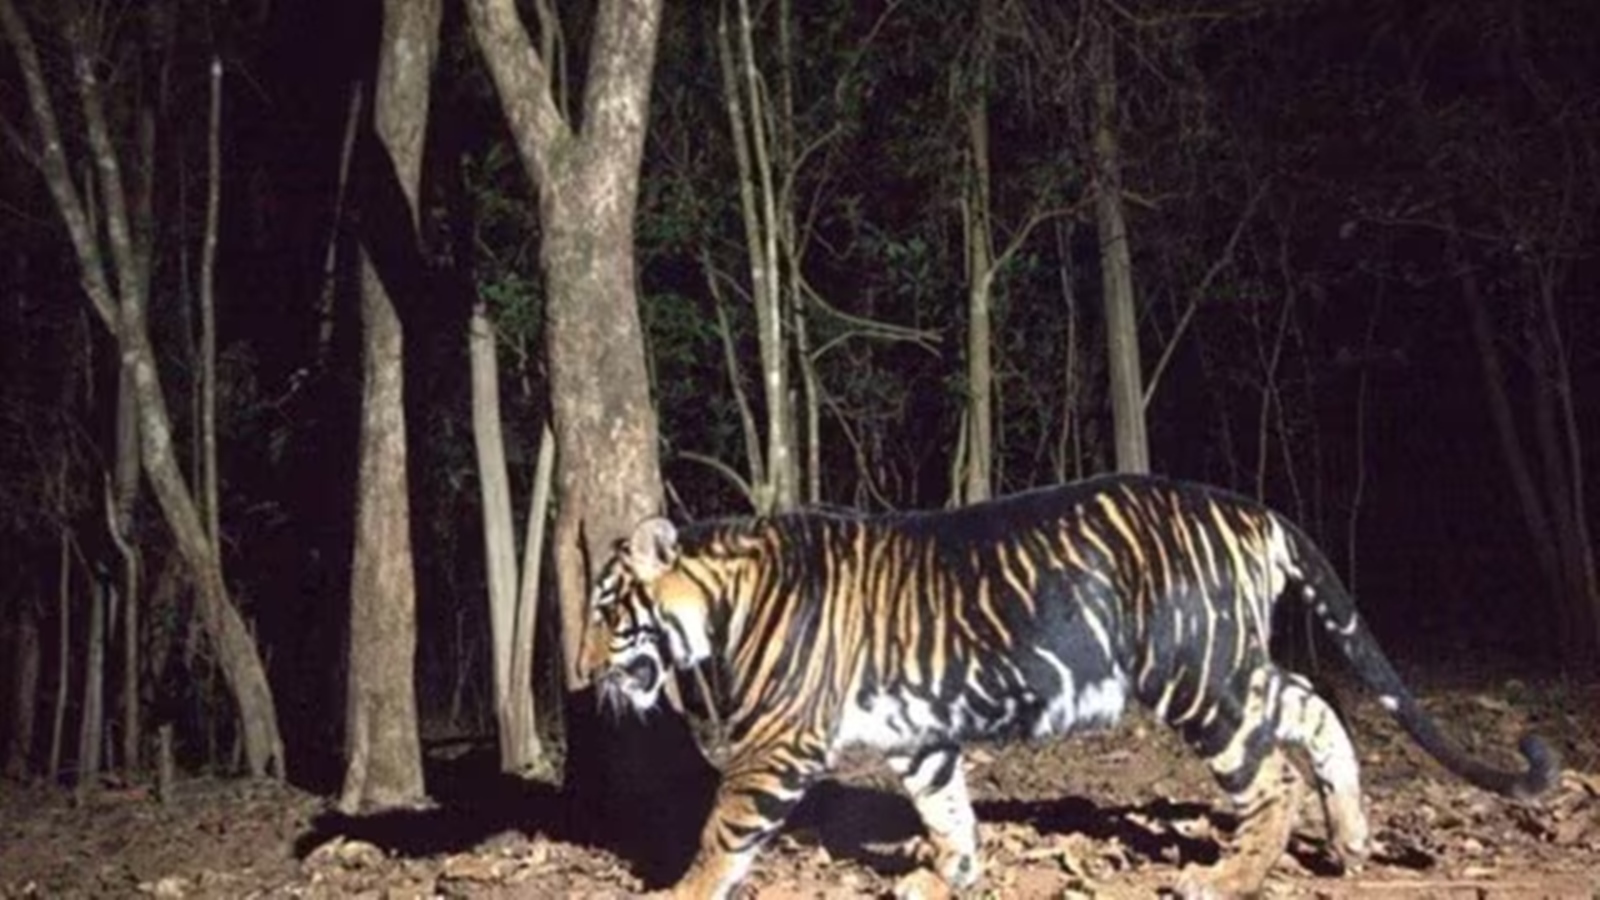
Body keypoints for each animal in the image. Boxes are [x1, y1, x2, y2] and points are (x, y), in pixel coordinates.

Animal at [579, 473, 1556, 899]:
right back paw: (1349, 840)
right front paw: (949, 874)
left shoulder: (776, 743)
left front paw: (680, 895)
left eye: (606, 610)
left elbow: (722, 832)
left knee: (1270, 776)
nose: (580, 674)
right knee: (1316, 712)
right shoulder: (918, 736)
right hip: (1232, 668)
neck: (725, 601)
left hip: (1196, 679)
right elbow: (946, 806)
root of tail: (1254, 508)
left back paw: (1226, 878)